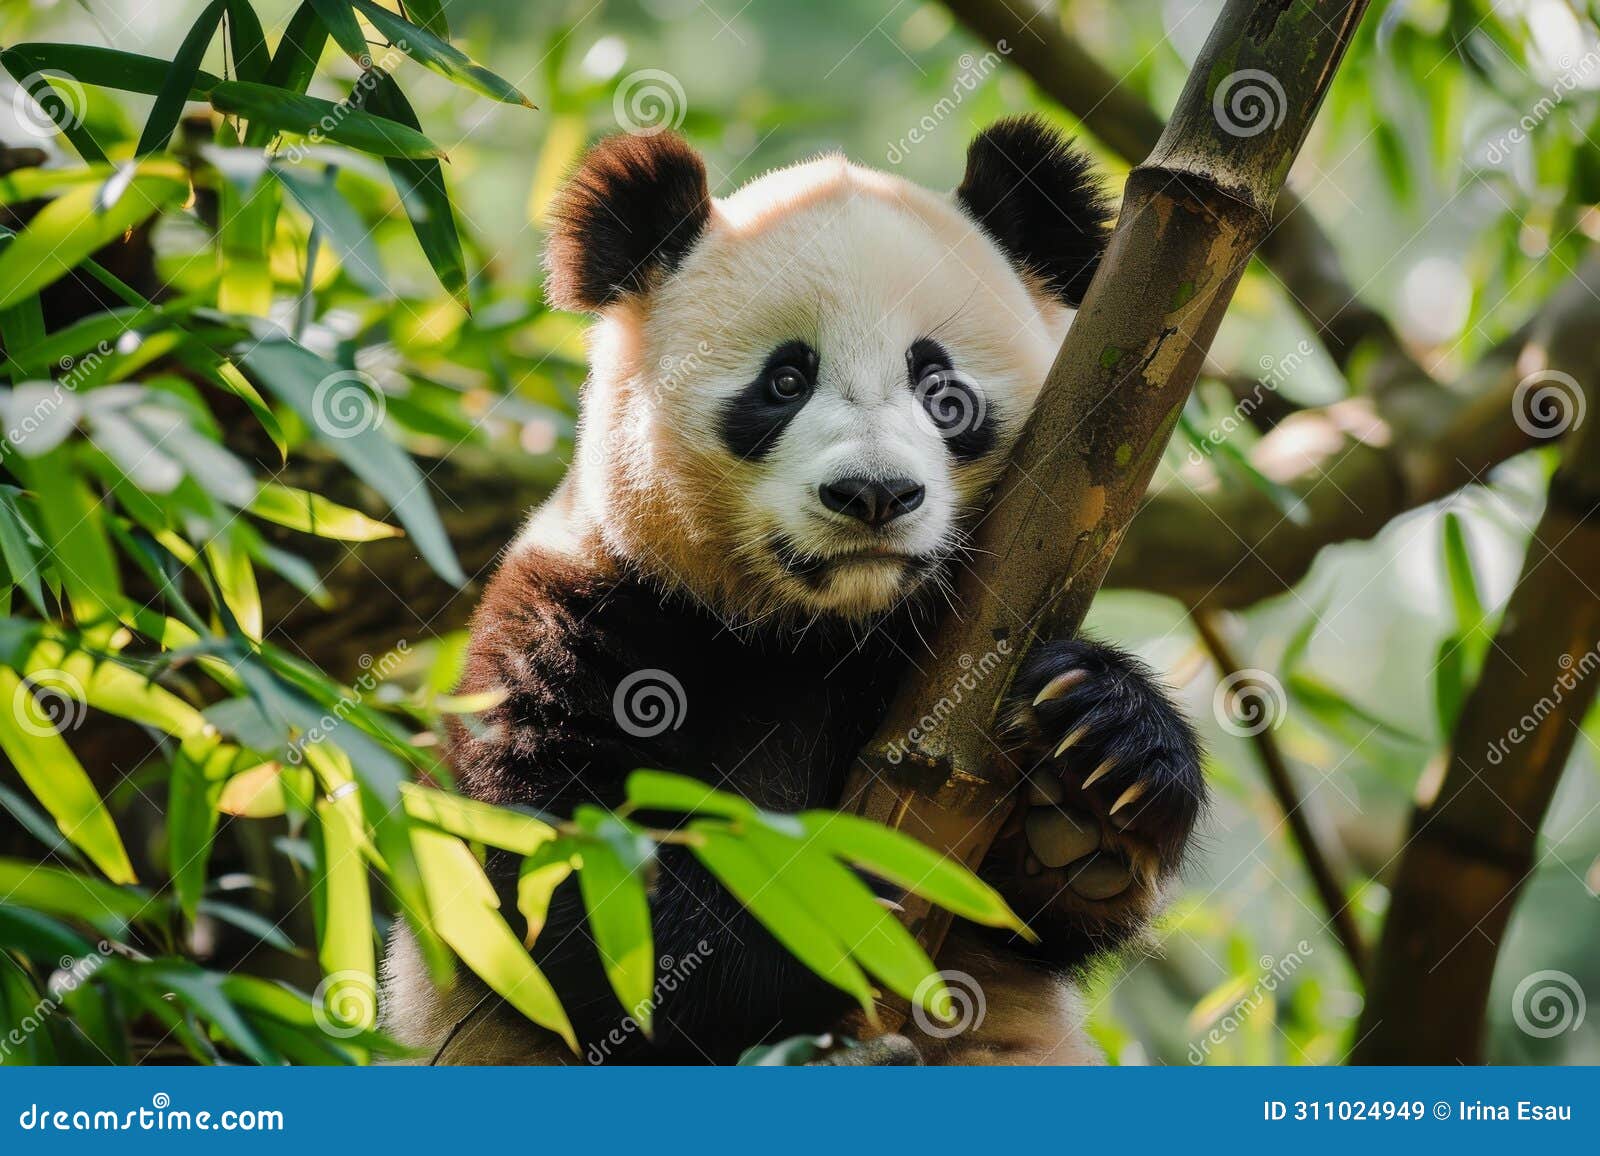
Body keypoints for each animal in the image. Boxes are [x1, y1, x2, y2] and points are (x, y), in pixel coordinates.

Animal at [381, 116, 1204, 1065]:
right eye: (784, 381)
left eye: (943, 391)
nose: (874, 495)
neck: (808, 630)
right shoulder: (586, 611)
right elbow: (551, 878)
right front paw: (832, 927)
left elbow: (1034, 920)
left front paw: (1092, 782)